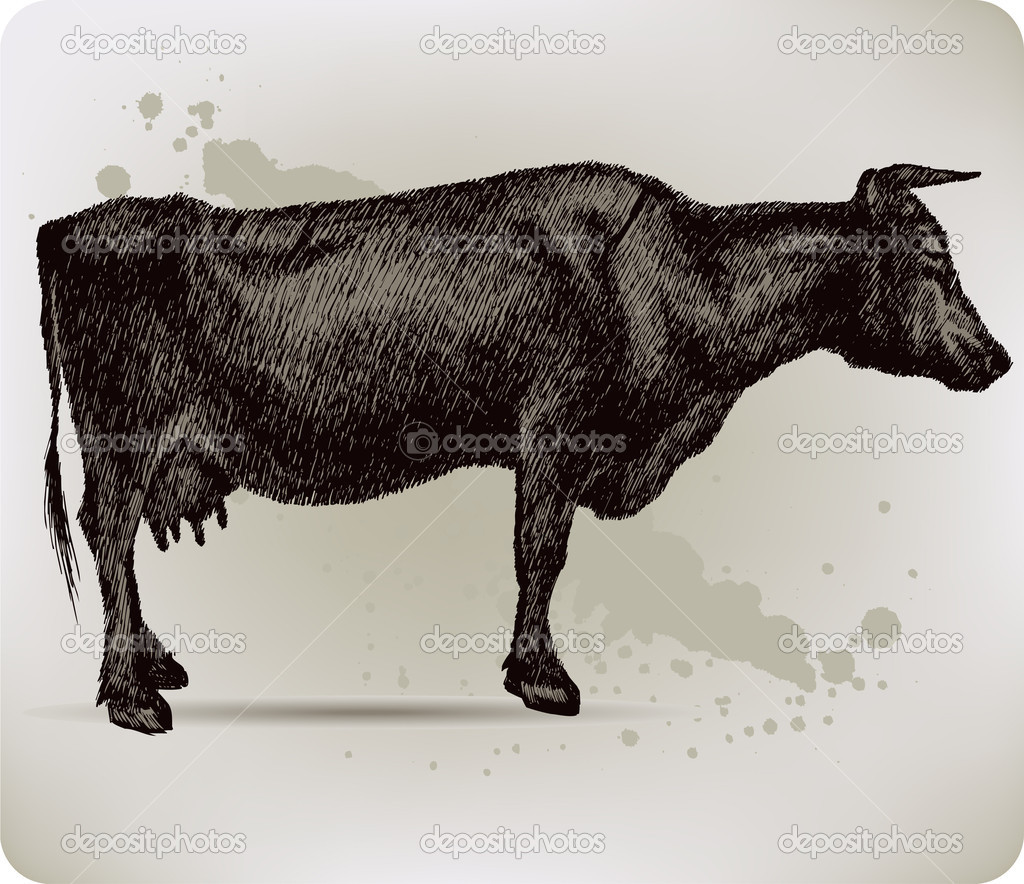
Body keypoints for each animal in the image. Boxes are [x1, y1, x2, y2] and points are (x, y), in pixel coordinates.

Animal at [37, 161, 1011, 733]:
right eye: (933, 260)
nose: (997, 358)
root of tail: (71, 225)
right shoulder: (554, 435)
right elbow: (540, 551)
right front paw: (543, 678)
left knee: (120, 545)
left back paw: (155, 662)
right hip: (123, 436)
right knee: (109, 533)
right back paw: (131, 694)